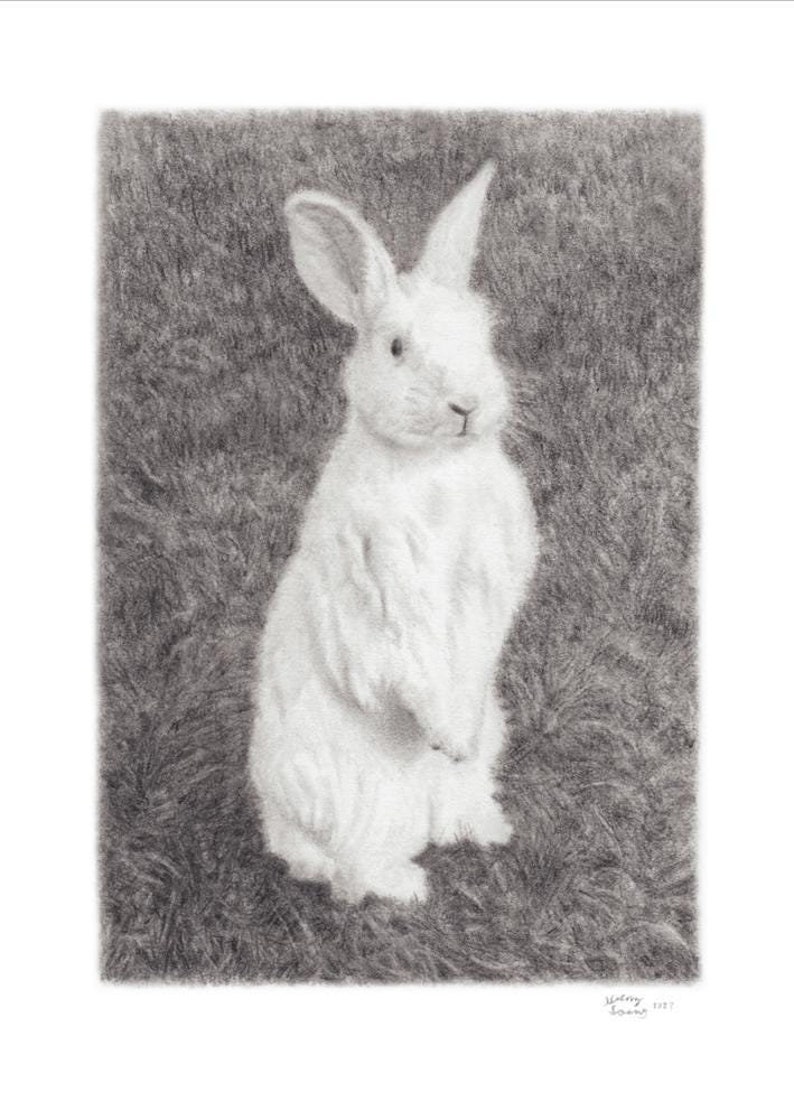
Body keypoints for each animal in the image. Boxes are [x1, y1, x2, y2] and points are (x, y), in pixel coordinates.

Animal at [249, 160, 539, 904]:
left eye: (484, 334)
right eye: (397, 347)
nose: (467, 404)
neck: (435, 464)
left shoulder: (485, 590)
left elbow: (475, 653)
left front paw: (457, 734)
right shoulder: (386, 590)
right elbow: (410, 662)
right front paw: (443, 733)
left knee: (454, 804)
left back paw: (486, 828)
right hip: (349, 795)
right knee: (353, 865)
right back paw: (407, 886)